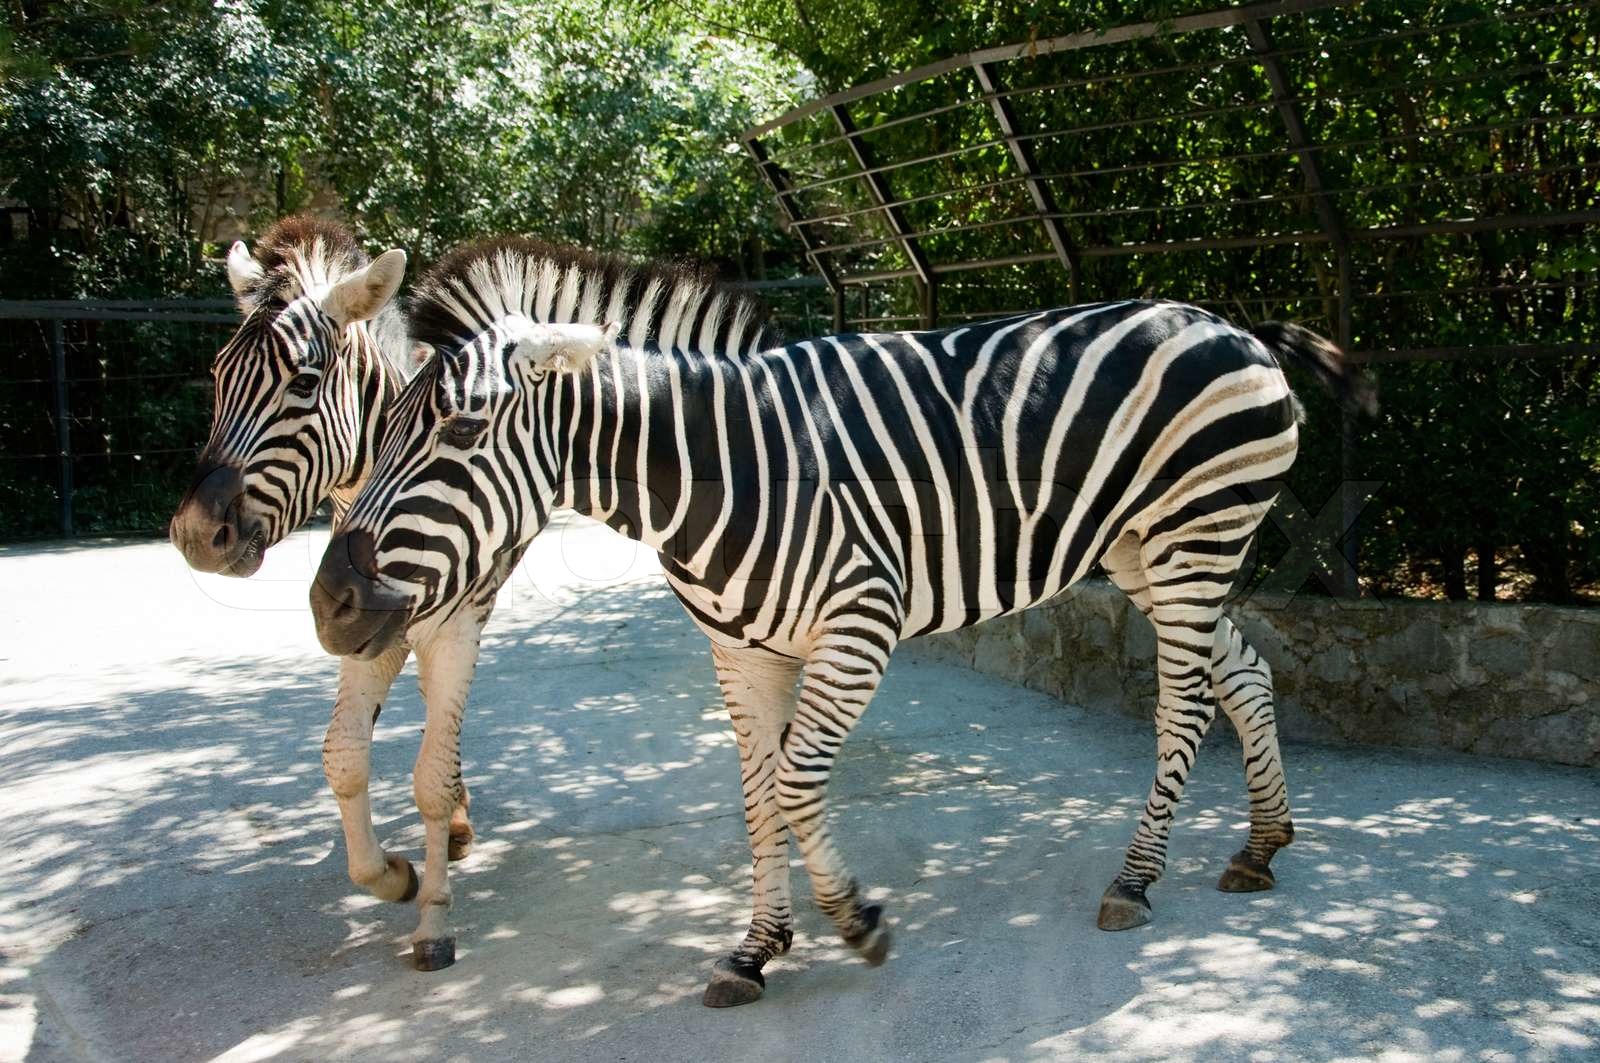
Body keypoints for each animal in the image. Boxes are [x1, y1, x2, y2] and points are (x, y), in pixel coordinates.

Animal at [168, 215, 470, 912]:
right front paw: (390, 870)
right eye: (217, 375)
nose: (197, 535)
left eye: (303, 383)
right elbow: (347, 750)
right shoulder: (365, 616)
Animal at [309, 237, 1372, 1004]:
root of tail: (1227, 322)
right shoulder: (738, 650)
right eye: (384, 426)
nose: (329, 604)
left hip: (1198, 536)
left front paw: (854, 921)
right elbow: (755, 796)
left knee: (1185, 705)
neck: (726, 470)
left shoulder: (858, 627)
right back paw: (1262, 844)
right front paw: (754, 948)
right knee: (1245, 672)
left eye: (460, 429)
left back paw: (1135, 880)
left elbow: (795, 783)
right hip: (1142, 551)